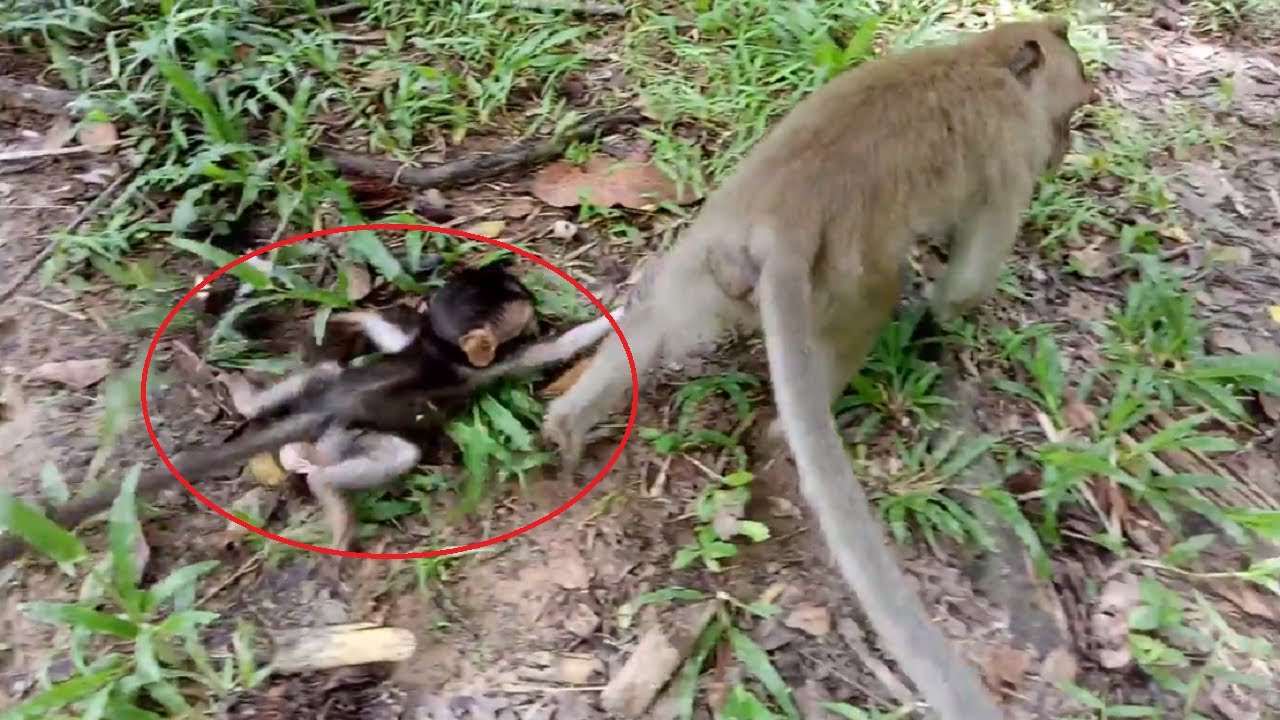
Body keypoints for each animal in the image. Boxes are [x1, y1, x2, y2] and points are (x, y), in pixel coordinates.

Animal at [537, 18, 1093, 720]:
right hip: (840, 279)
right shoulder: (1011, 152)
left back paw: (570, 424)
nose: (1062, 152)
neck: (982, 61)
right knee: (870, 306)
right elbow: (972, 271)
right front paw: (946, 315)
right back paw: (792, 423)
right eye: (1069, 114)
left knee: (660, 320)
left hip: (708, 260)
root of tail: (778, 221)